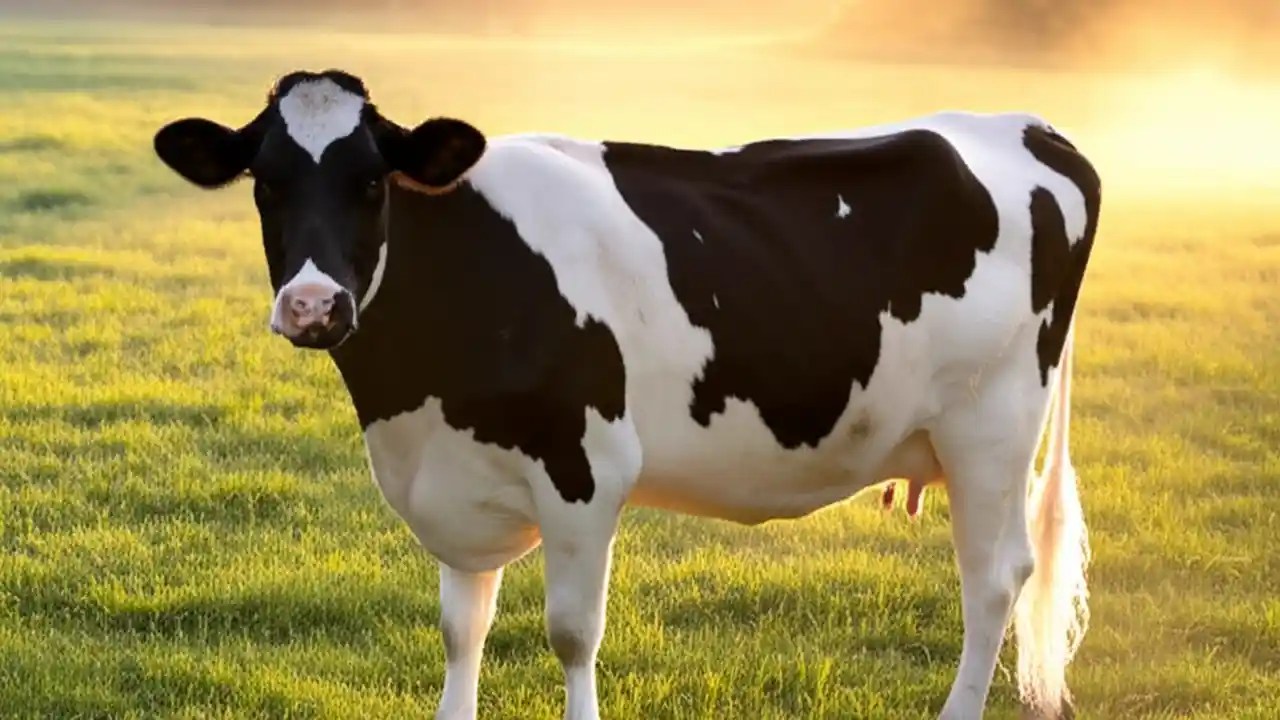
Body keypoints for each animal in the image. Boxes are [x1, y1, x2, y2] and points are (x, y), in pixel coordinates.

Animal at [153, 69, 1100, 720]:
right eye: (266, 182)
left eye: (373, 181)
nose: (313, 305)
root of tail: (1024, 126)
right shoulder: (452, 479)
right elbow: (461, 630)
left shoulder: (586, 469)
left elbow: (573, 633)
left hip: (992, 426)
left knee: (993, 578)